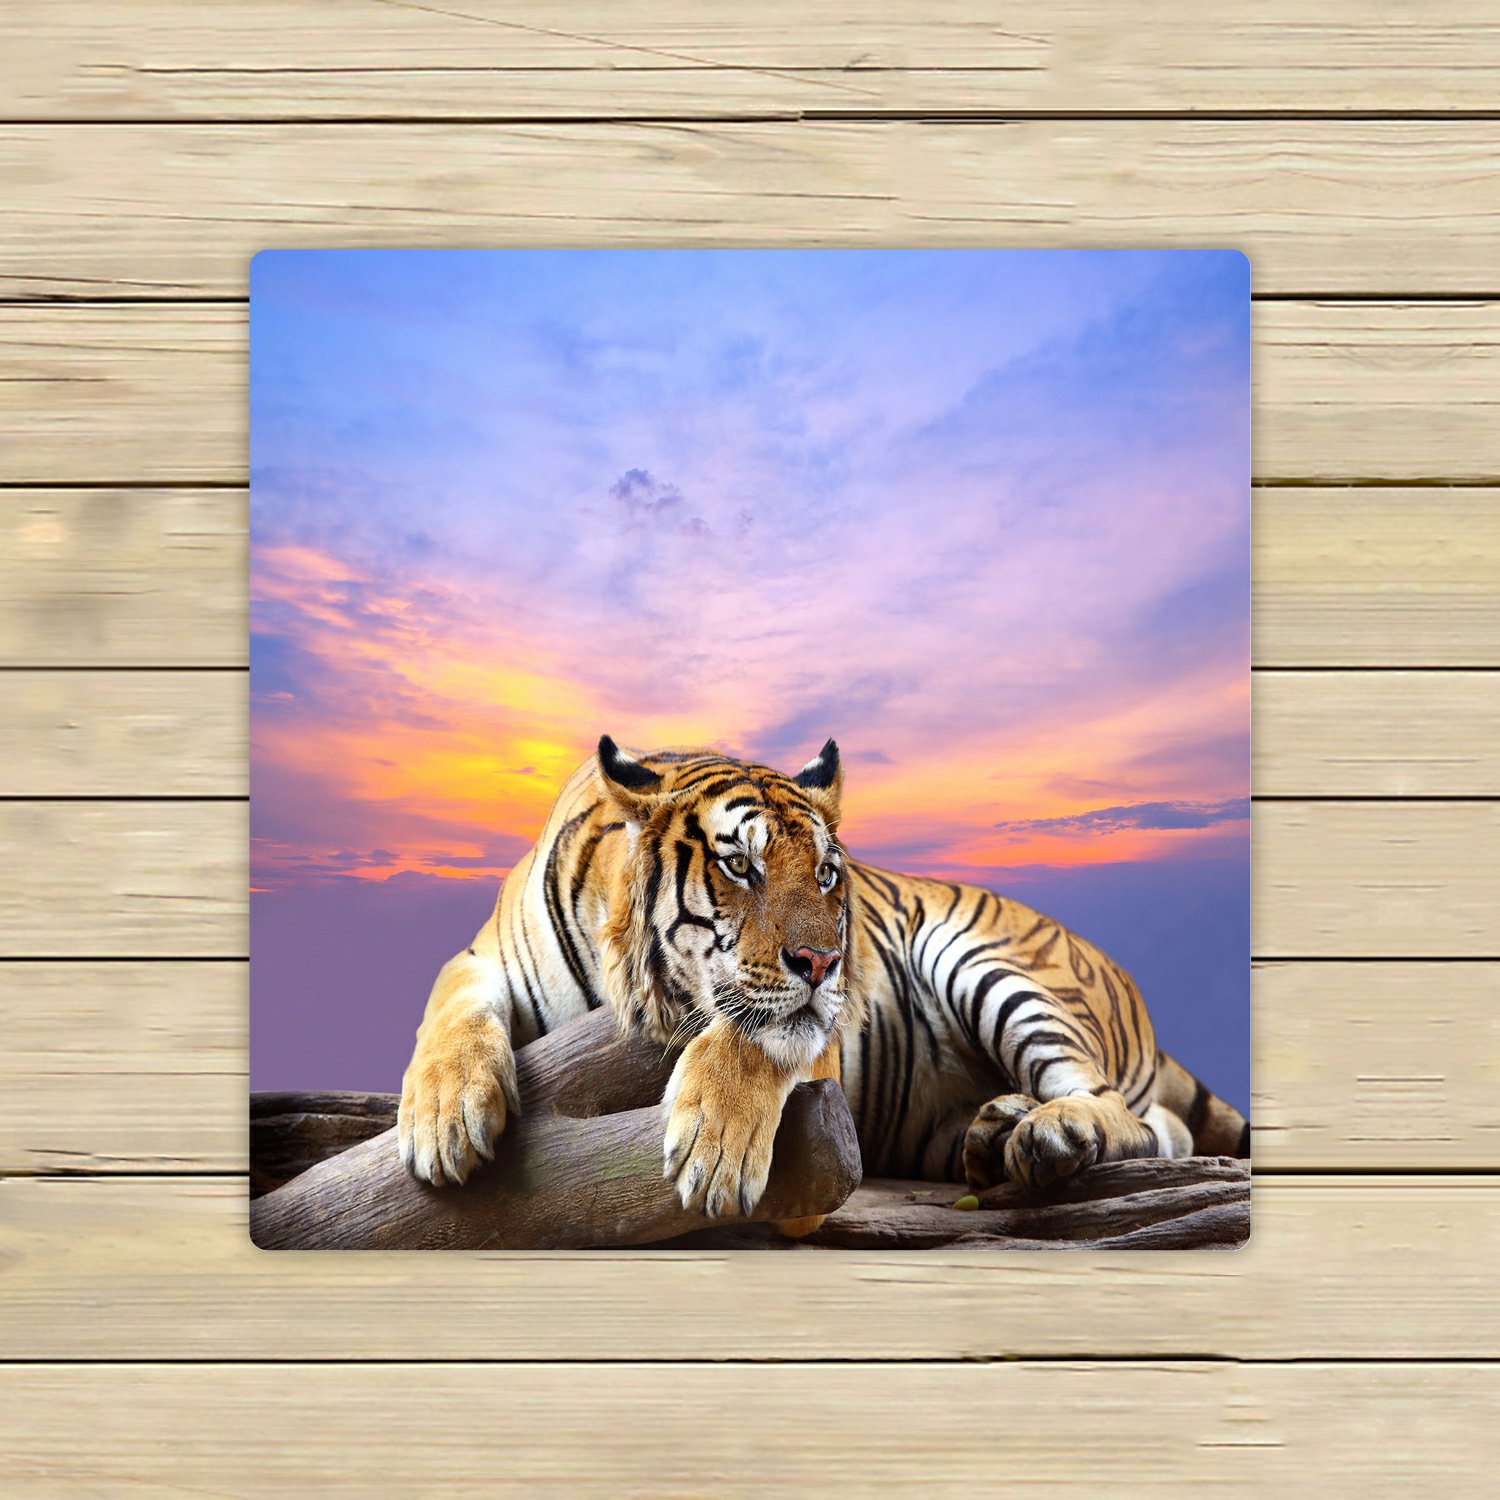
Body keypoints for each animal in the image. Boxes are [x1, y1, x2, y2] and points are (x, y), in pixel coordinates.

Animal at [397, 737, 1248, 1227]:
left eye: (829, 874)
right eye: (741, 865)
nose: (824, 962)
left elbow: (753, 1037)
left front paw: (715, 1154)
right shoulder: (482, 958)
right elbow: (449, 1011)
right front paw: (443, 1121)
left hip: (987, 962)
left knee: (1134, 1117)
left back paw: (1050, 1133)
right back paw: (997, 1130)